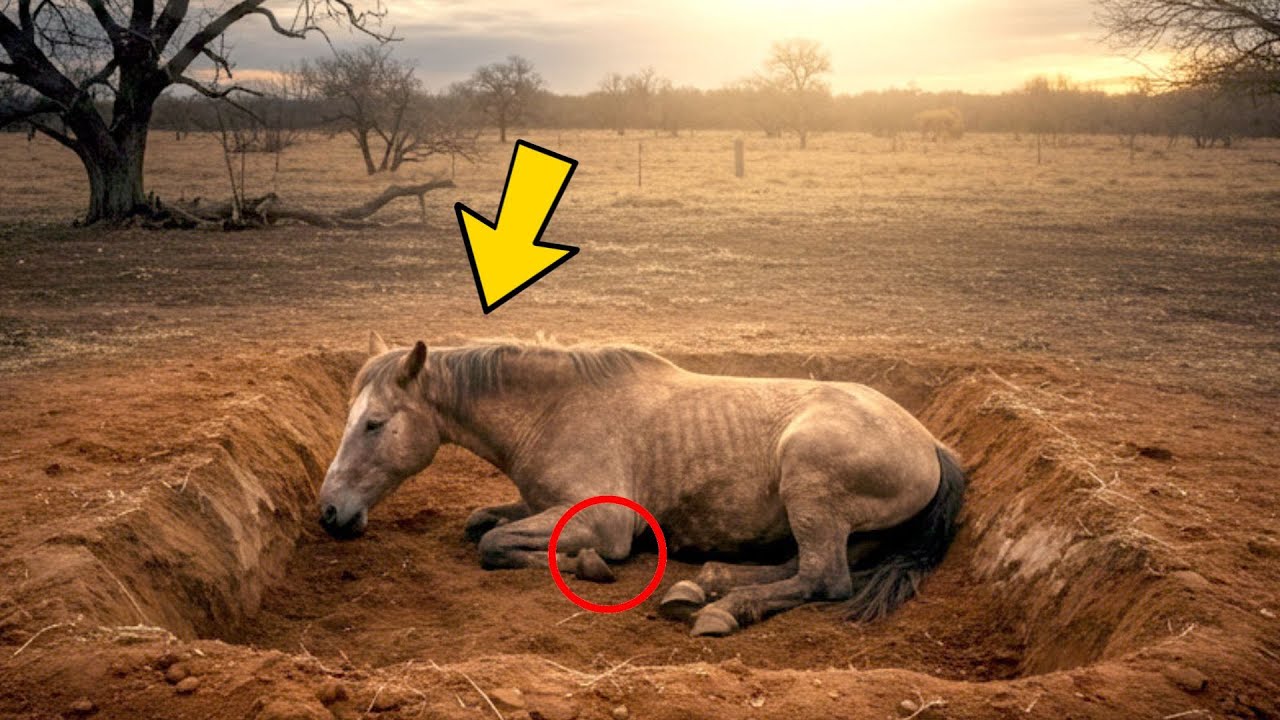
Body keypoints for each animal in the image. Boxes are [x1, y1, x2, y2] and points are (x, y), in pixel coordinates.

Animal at [318, 333, 965, 636]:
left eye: (374, 424)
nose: (329, 511)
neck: (553, 410)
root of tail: (931, 444)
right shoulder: (539, 503)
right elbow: (482, 524)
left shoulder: (602, 520)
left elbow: (495, 545)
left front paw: (587, 566)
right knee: (808, 567)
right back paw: (704, 584)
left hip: (808, 482)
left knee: (825, 579)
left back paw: (724, 609)